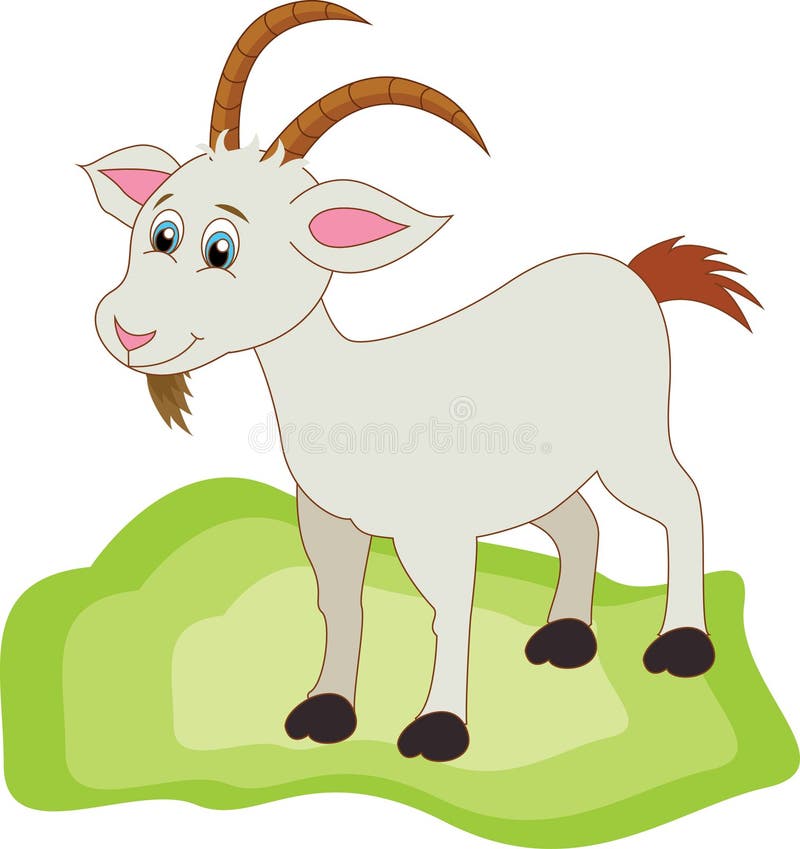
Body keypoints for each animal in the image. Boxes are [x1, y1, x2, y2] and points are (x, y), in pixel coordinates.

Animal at [82, 3, 760, 762]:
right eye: (160, 229)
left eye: (220, 248)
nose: (127, 330)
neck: (346, 390)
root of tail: (634, 273)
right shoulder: (329, 524)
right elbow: (340, 605)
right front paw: (324, 711)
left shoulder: (435, 528)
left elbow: (450, 610)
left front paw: (439, 728)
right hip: (538, 473)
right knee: (580, 523)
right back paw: (565, 638)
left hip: (630, 444)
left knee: (681, 501)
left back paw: (682, 646)